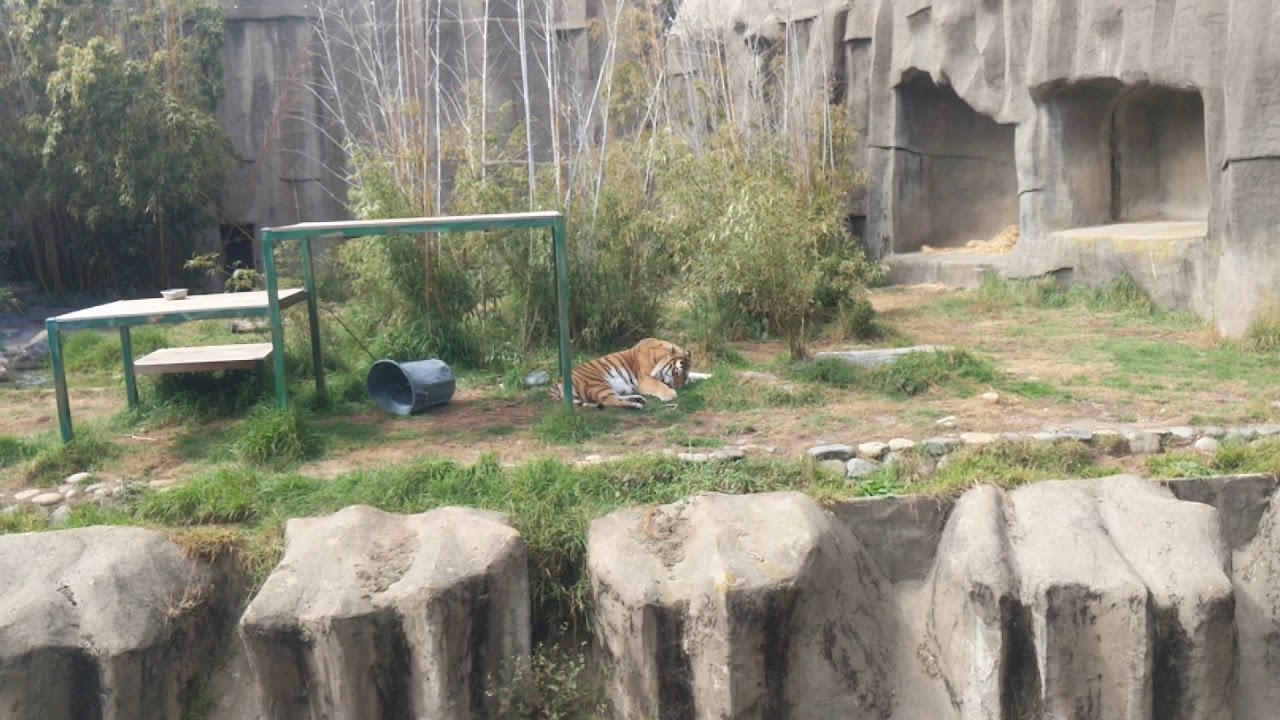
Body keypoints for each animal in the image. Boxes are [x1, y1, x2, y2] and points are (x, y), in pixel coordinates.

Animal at [549, 337, 692, 409]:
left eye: (685, 374)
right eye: (676, 372)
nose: (681, 387)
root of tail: (557, 382)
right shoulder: (645, 379)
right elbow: (659, 385)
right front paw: (670, 394)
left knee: (613, 397)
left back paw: (637, 399)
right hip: (597, 383)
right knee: (609, 400)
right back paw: (635, 405)